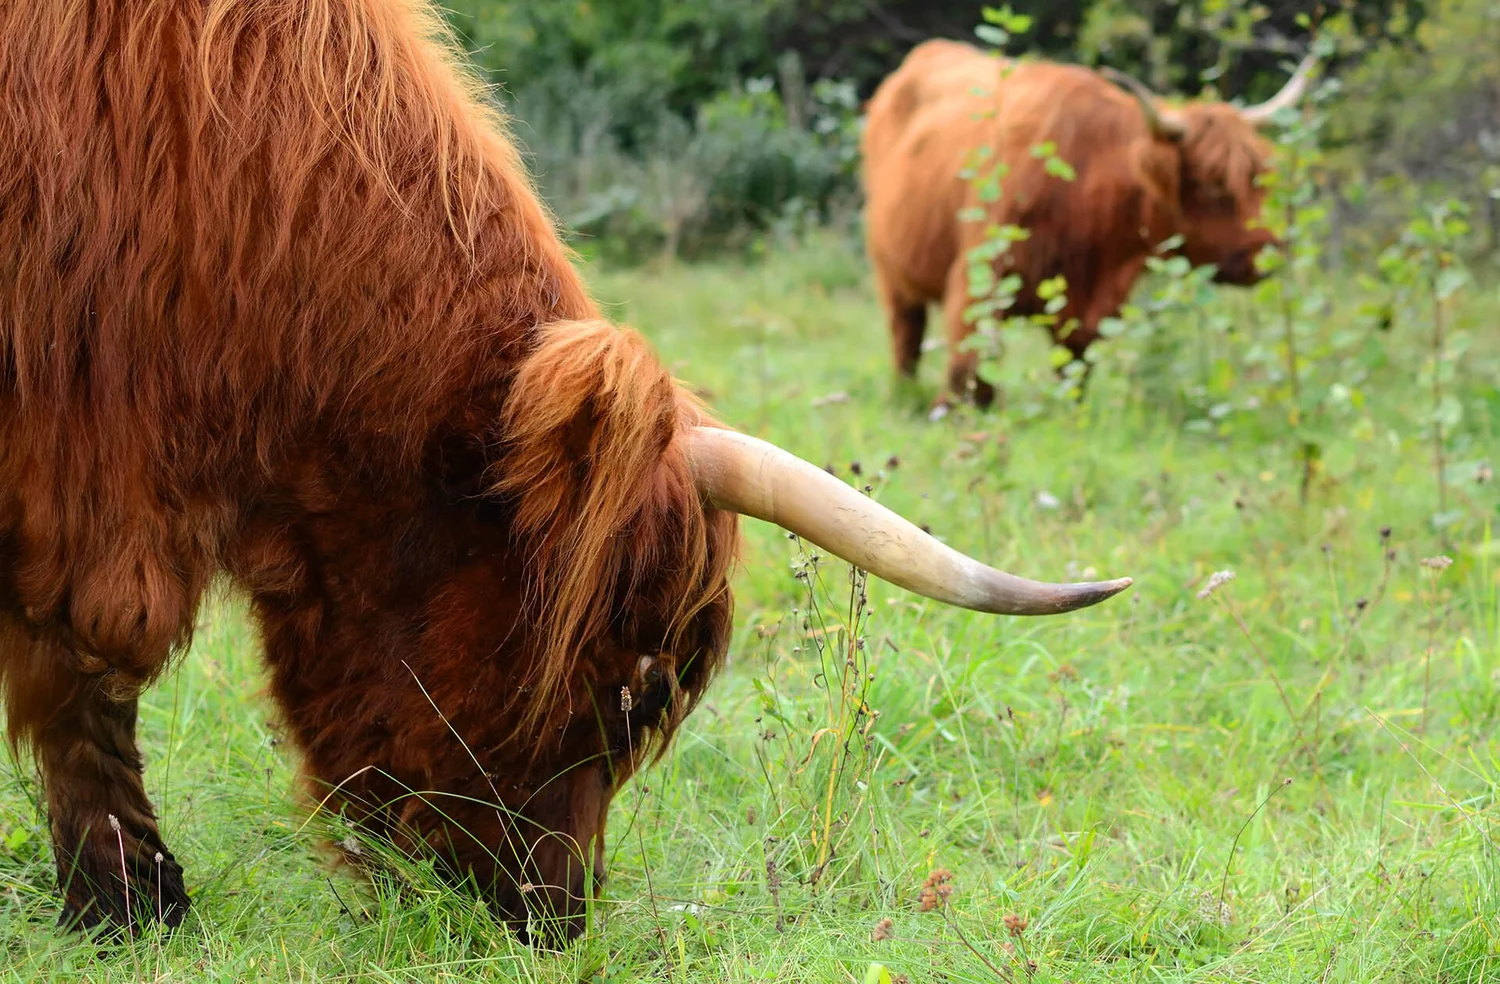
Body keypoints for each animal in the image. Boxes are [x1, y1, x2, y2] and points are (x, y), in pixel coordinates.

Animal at [861, 40, 1315, 407]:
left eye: (1260, 180)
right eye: (1211, 183)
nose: (1269, 252)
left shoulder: (1092, 304)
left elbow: (1075, 367)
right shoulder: (981, 276)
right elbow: (970, 364)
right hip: (891, 268)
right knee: (906, 335)